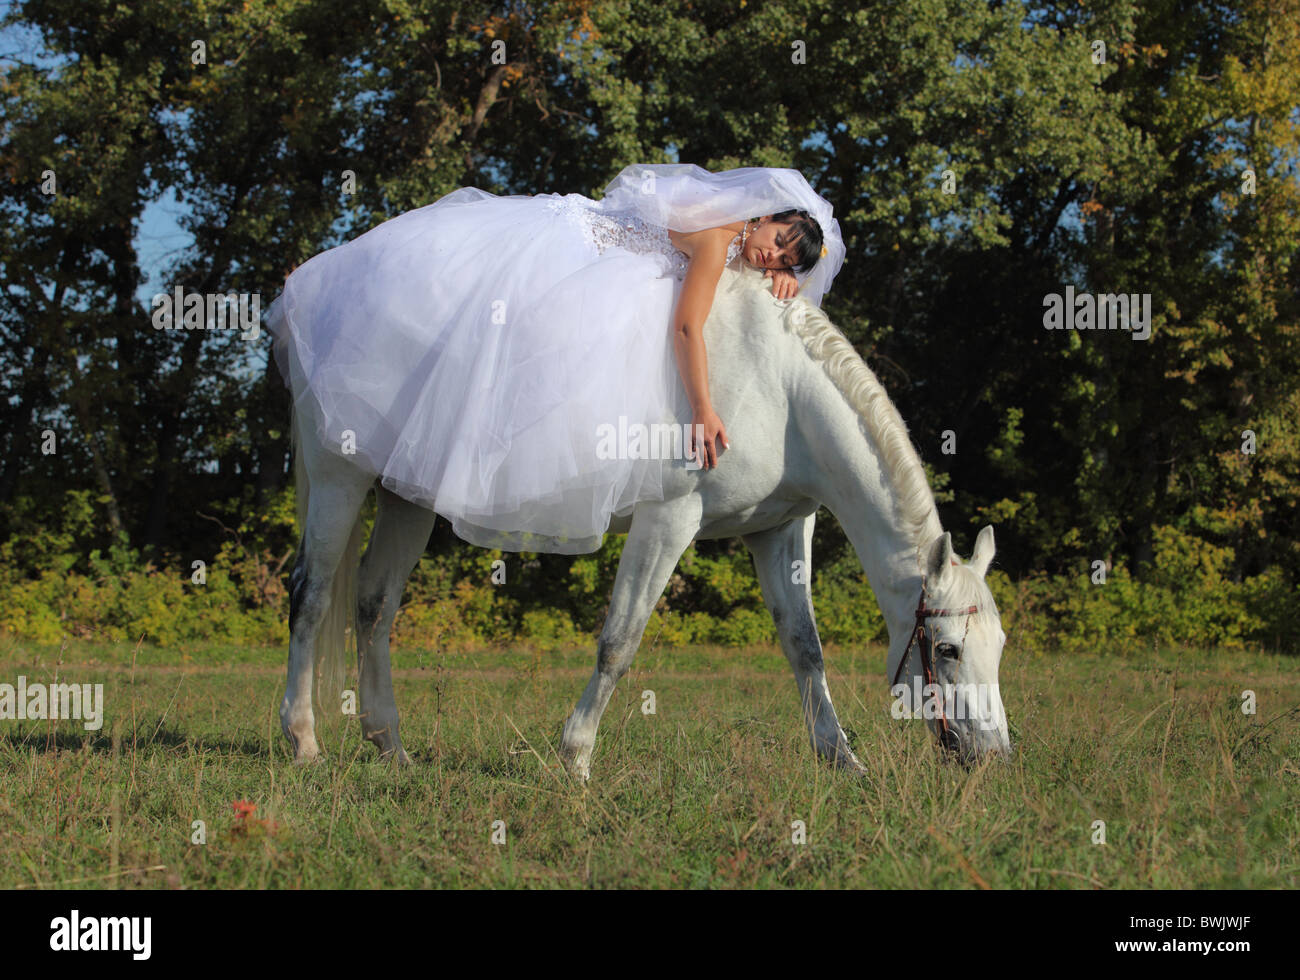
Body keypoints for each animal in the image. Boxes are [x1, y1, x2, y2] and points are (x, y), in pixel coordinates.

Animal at [273, 261, 1012, 778]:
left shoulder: (777, 530)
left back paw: (389, 747)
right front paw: (575, 758)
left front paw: (841, 759)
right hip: (340, 480)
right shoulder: (669, 521)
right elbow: (619, 641)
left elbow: (805, 647)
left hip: (405, 498)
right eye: (947, 649)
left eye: (998, 647)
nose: (995, 756)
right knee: (311, 598)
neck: (779, 386)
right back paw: (302, 740)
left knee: (372, 607)